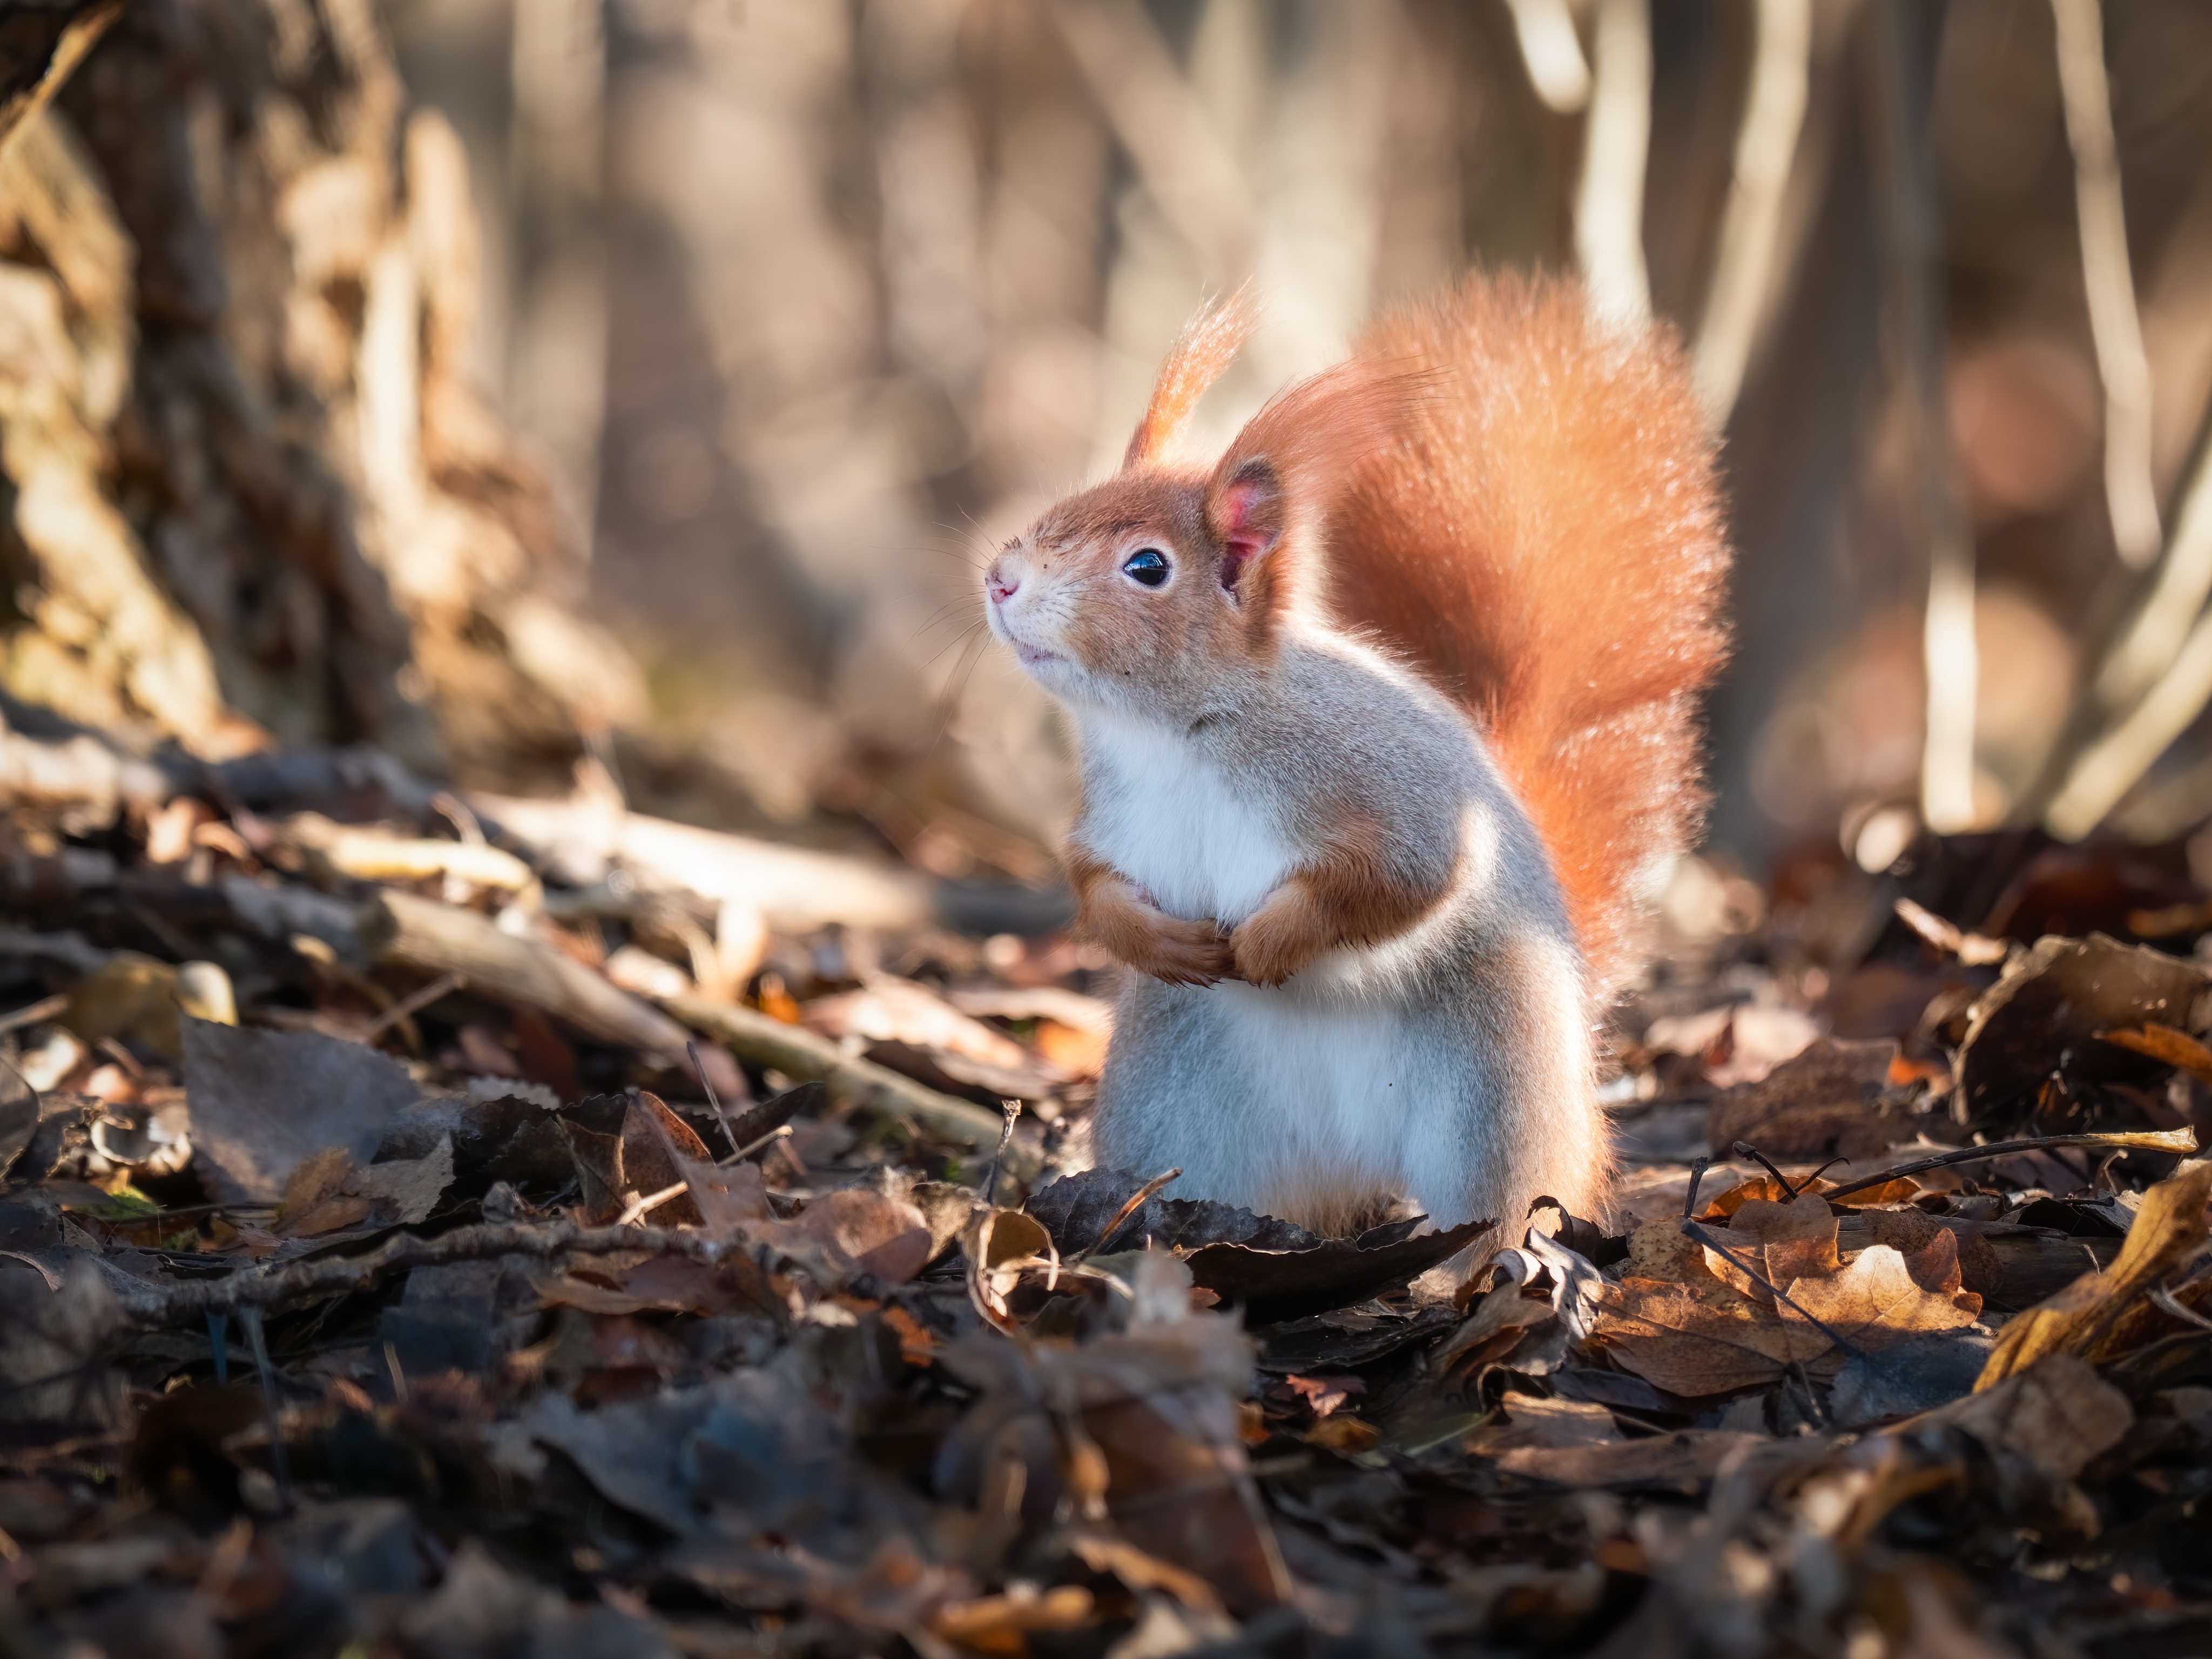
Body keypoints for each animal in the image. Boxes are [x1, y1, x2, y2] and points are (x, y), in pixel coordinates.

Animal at [983, 272, 1729, 1242]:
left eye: (1147, 567)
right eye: (1063, 507)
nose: (1000, 580)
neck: (1173, 737)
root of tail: (1355, 1158)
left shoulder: (1379, 783)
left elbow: (1402, 877)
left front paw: (1269, 942)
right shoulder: (1109, 820)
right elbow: (1091, 885)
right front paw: (1156, 939)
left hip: (1493, 1087)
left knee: (1502, 1203)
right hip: (1177, 1105)